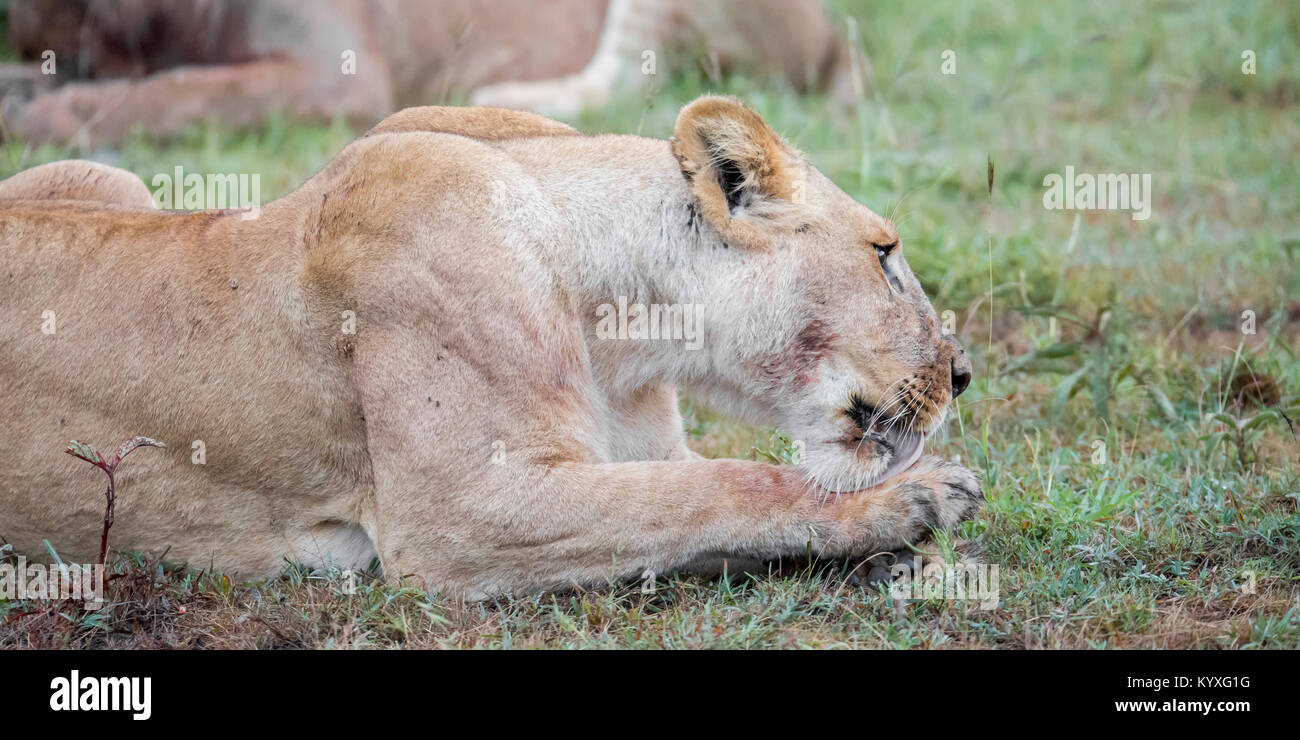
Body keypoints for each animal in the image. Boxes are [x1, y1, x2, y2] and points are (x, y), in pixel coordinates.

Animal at [0, 98, 980, 599]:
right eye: (885, 254)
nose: (963, 373)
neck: (623, 332)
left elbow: (704, 496)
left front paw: (901, 551)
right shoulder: (461, 514)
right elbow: (722, 488)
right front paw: (914, 502)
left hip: (103, 179)